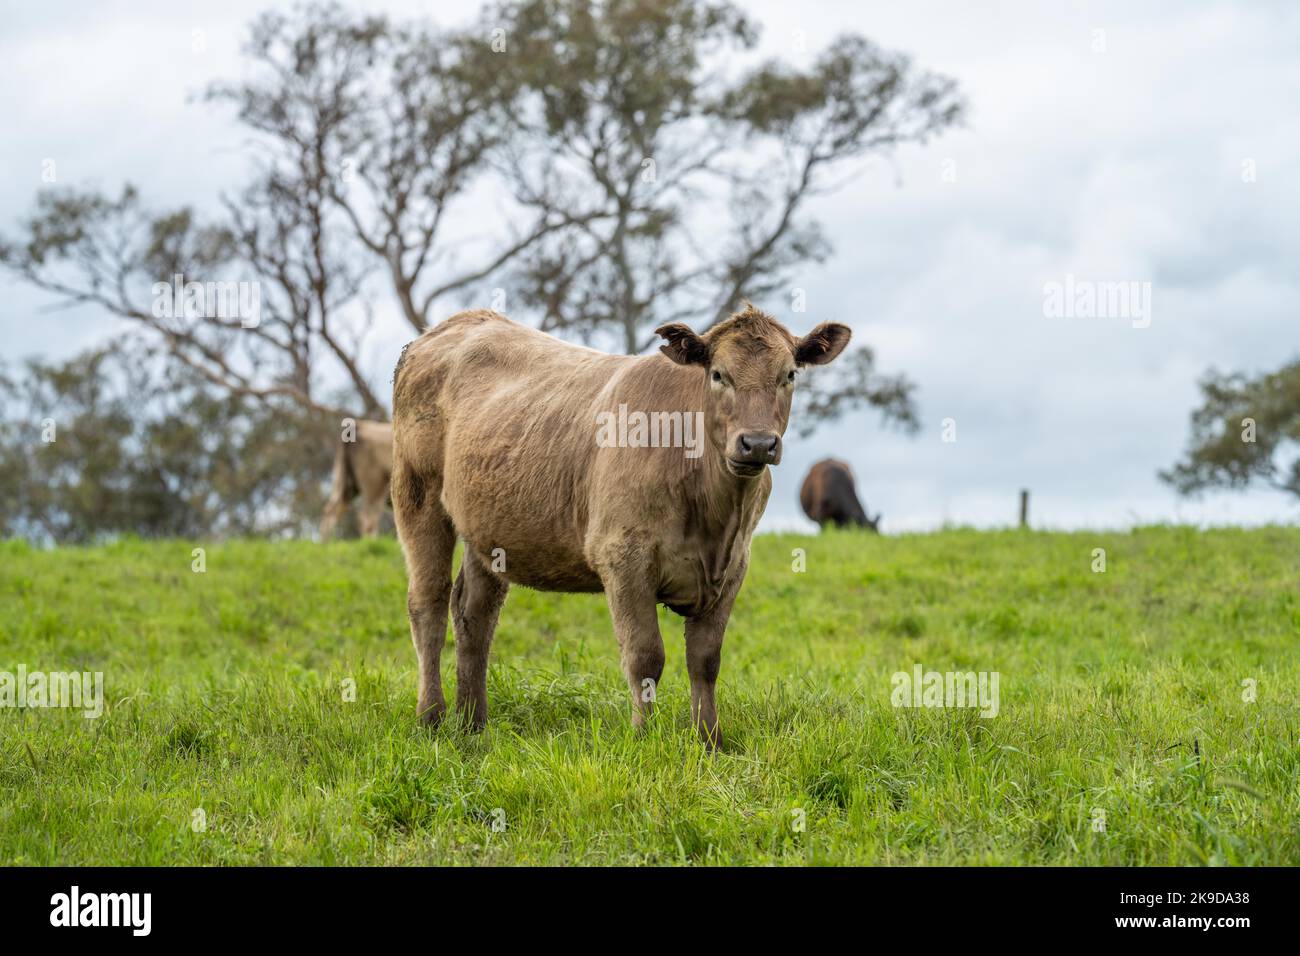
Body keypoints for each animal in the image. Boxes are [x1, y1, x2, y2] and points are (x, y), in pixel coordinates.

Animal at [390, 304, 850, 747]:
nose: (757, 443)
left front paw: (709, 741)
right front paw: (644, 737)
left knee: (474, 616)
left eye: (789, 374)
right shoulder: (624, 558)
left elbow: (705, 661)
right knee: (428, 605)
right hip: (417, 495)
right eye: (719, 374)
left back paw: (473, 725)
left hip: (487, 529)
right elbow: (645, 657)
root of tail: (459, 323)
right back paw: (431, 717)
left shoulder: (734, 566)